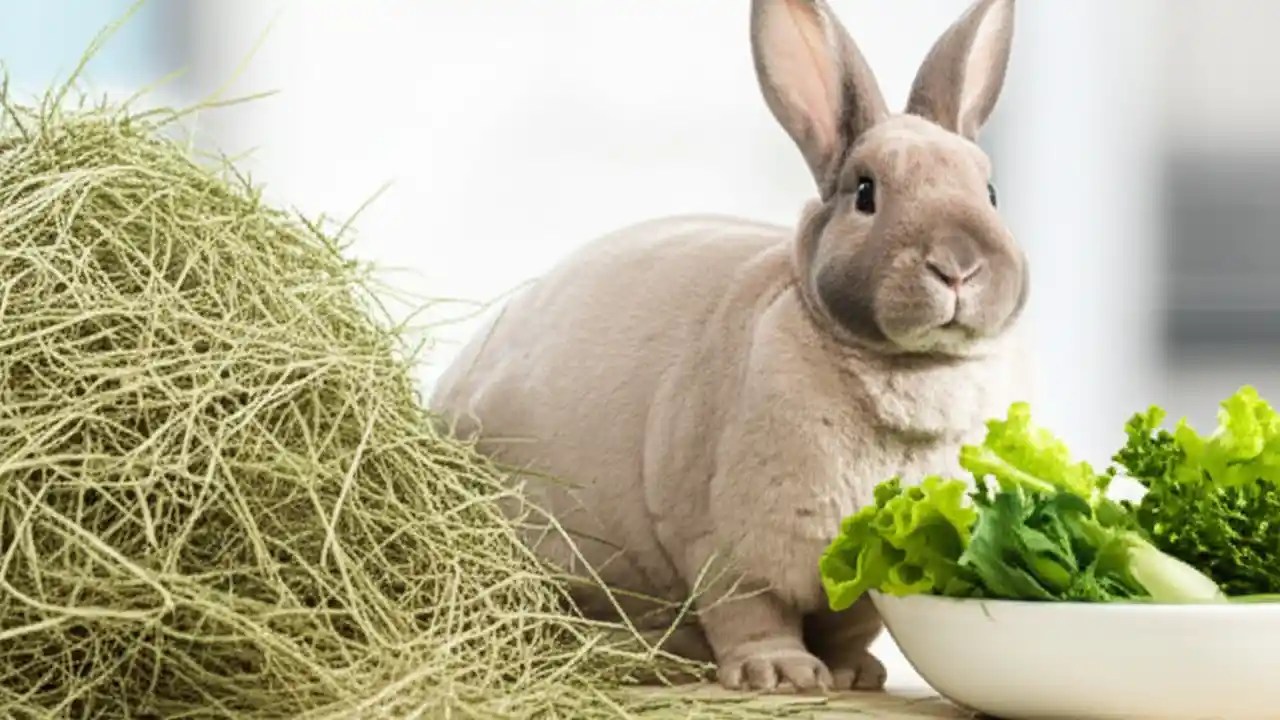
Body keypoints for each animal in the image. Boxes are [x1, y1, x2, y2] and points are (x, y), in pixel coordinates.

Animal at [431, 0, 1030, 694]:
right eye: (865, 192)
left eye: (991, 194)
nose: (958, 265)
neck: (911, 370)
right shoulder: (727, 545)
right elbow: (751, 612)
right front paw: (784, 674)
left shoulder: (865, 579)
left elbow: (851, 625)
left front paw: (855, 674)